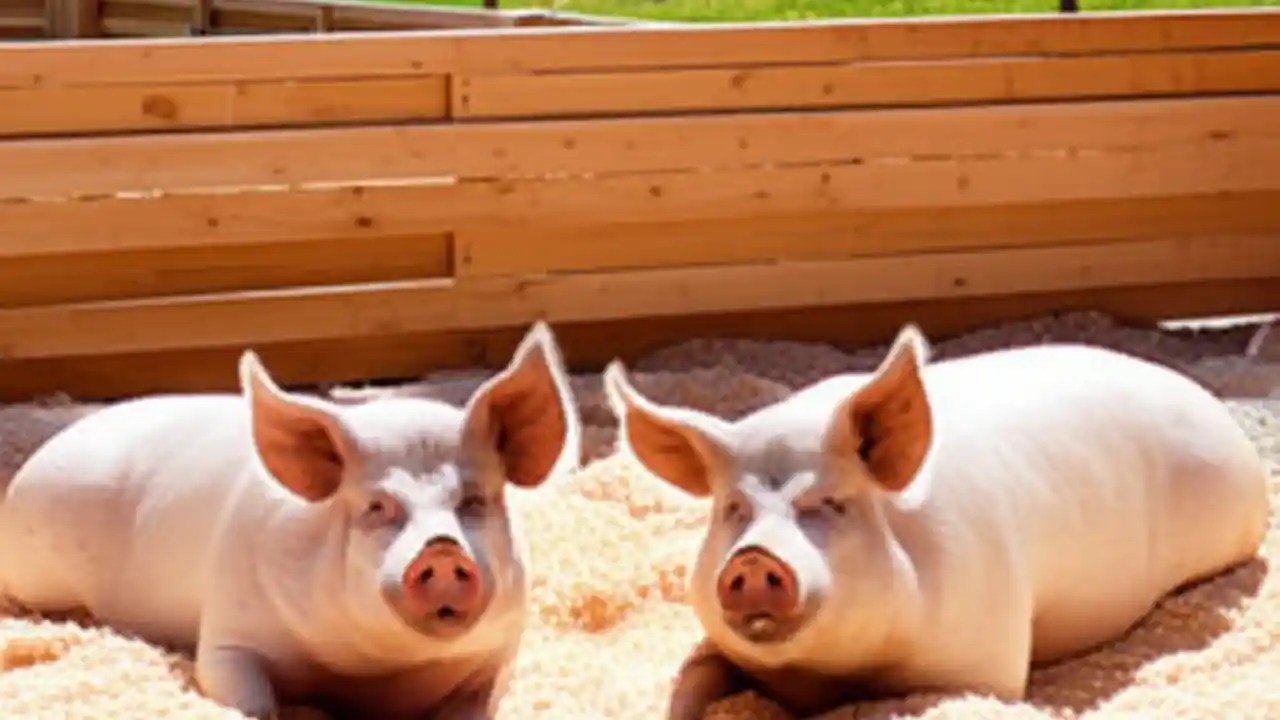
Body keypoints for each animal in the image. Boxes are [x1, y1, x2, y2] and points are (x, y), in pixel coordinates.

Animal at [0, 322, 581, 720]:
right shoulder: (229, 632)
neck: (375, 678)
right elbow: (243, 694)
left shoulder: (496, 654)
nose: (441, 549)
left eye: (476, 500)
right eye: (377, 507)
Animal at [603, 324, 1269, 718]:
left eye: (830, 503)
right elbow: (693, 673)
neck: (832, 675)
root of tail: (1218, 412)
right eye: (733, 510)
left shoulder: (989, 657)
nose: (753, 557)